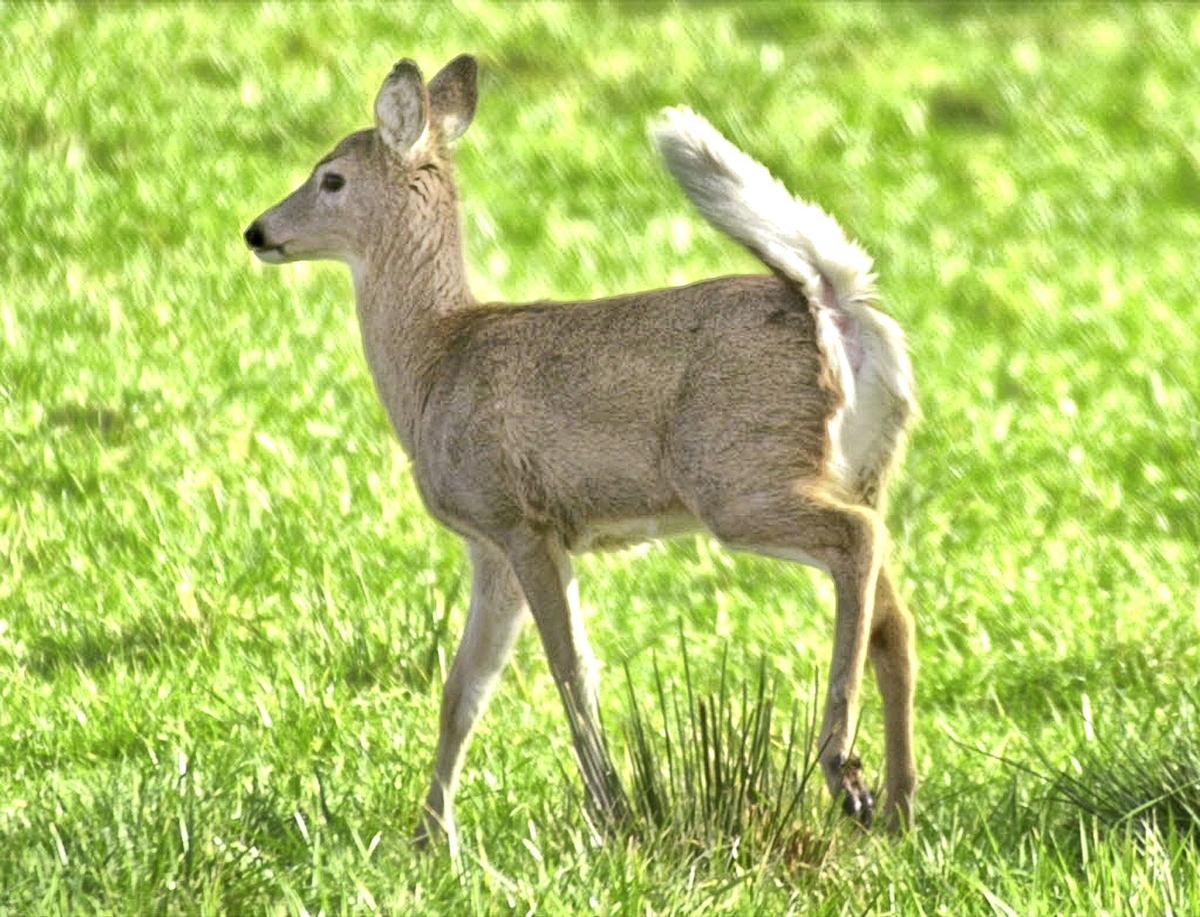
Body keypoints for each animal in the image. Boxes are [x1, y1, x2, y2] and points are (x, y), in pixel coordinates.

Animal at [243, 54, 918, 842]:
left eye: (332, 178)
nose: (257, 231)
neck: (435, 361)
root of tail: (836, 307)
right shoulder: (489, 547)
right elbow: (463, 690)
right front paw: (431, 836)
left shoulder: (523, 520)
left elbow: (571, 670)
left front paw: (612, 811)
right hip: (857, 469)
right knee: (892, 615)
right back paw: (897, 802)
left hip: (739, 475)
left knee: (857, 542)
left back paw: (842, 765)